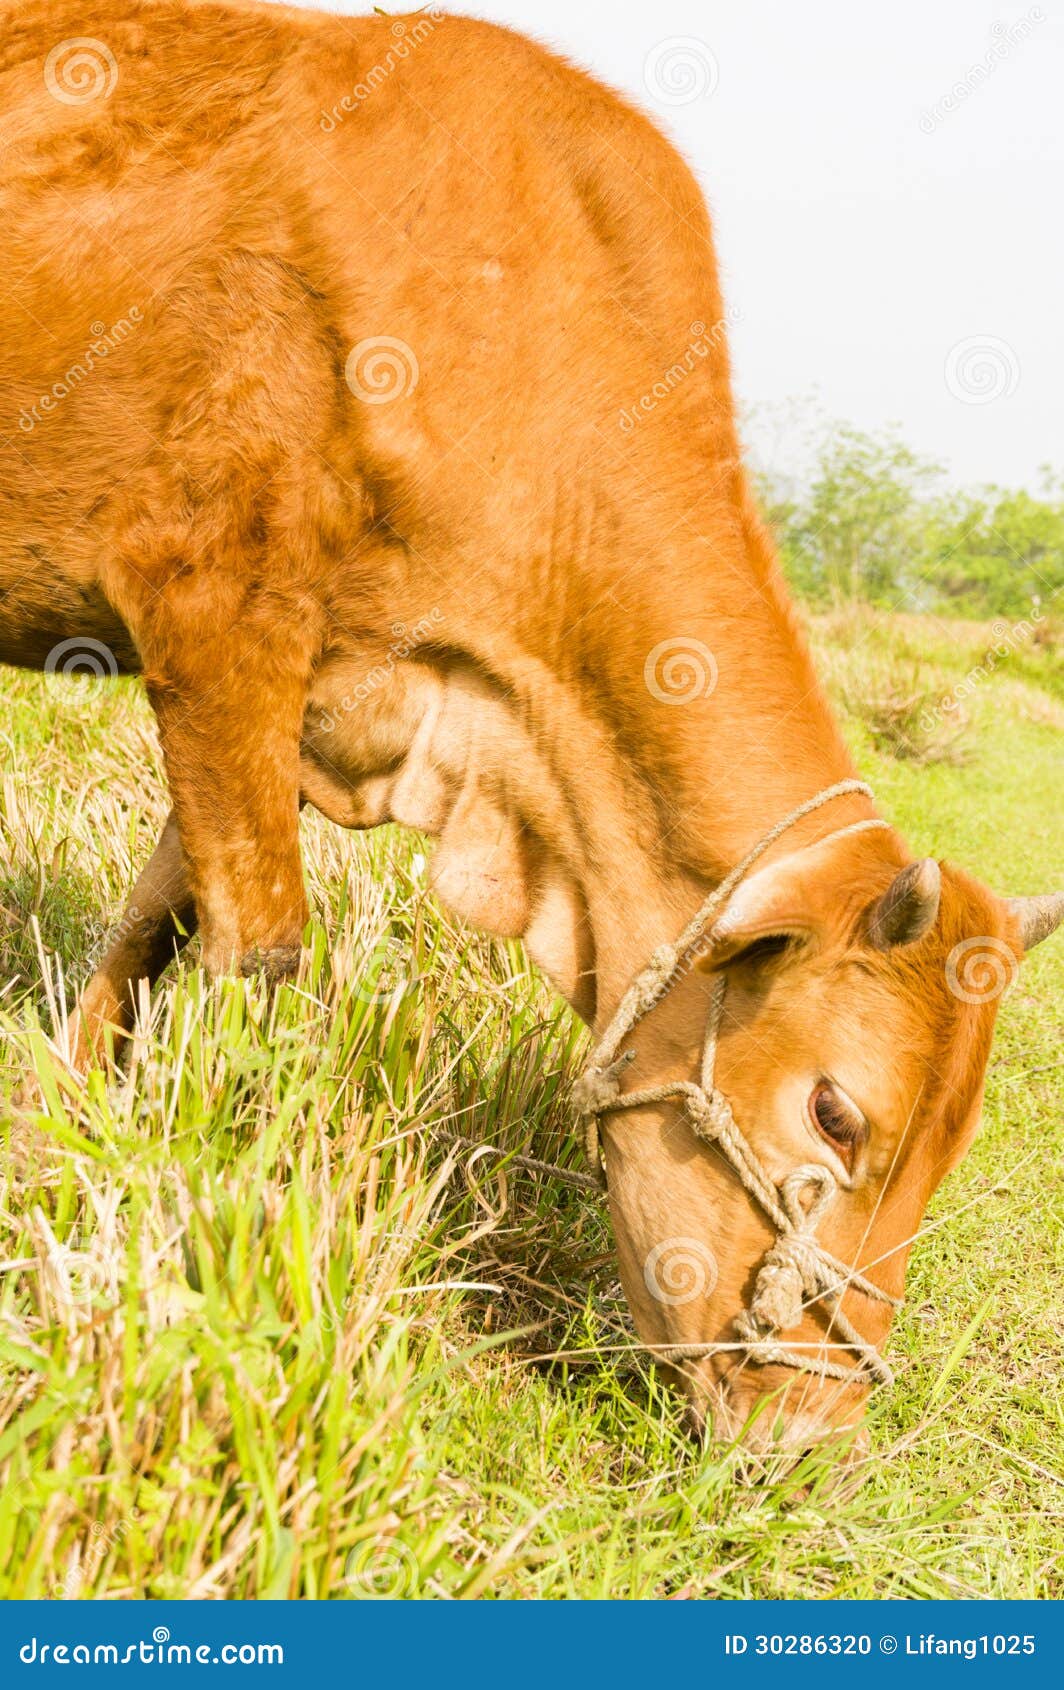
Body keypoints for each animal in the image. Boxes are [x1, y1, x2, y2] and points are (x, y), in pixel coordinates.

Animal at [1, 0, 1060, 1448]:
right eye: (836, 1113)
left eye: (949, 1140)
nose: (810, 1440)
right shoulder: (208, 606)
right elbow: (255, 948)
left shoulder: (298, 700)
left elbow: (152, 917)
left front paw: (65, 1107)